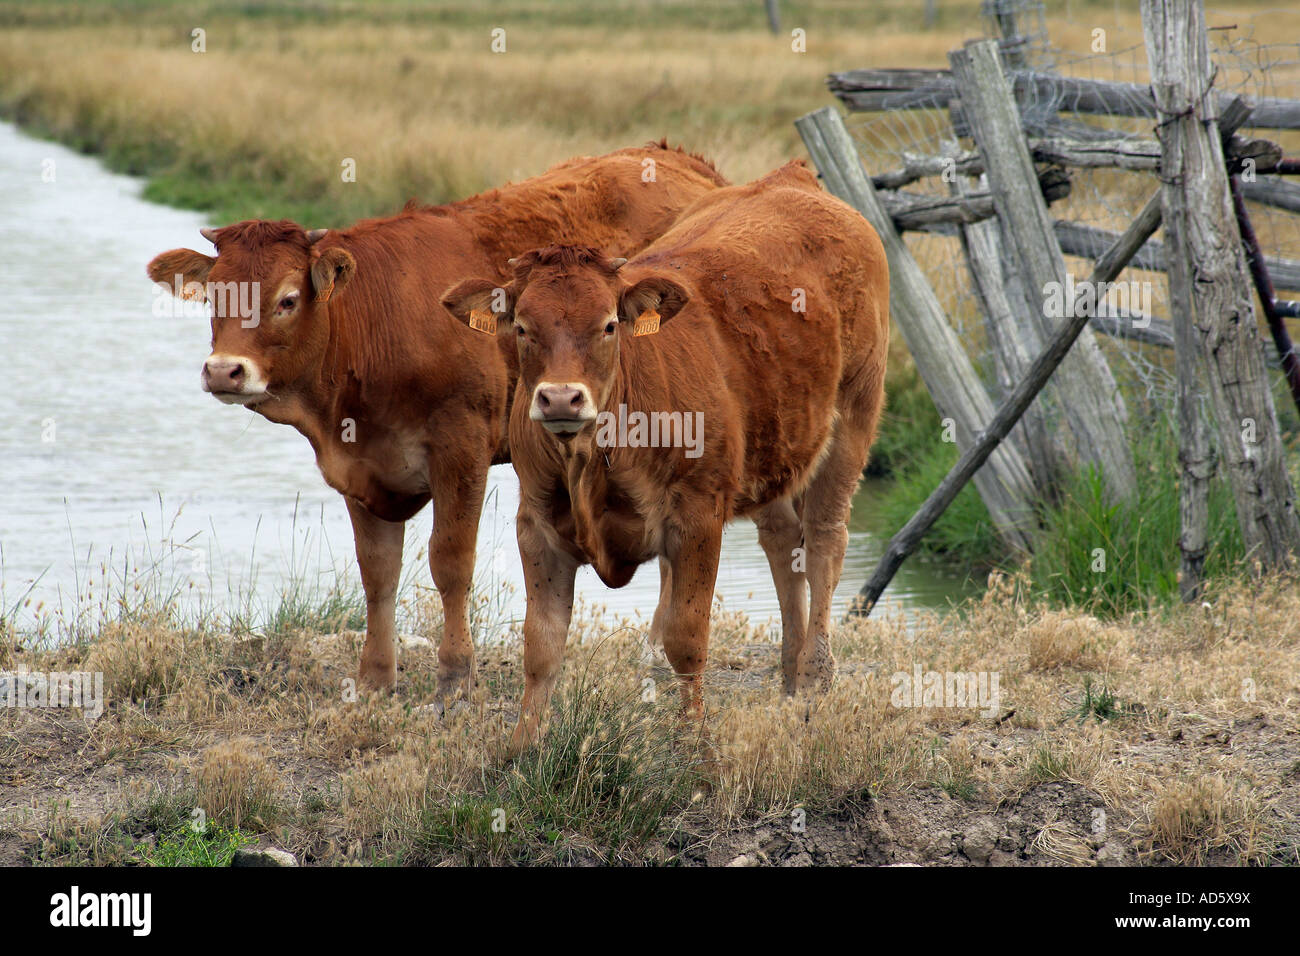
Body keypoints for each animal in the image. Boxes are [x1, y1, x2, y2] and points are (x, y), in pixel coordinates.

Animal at [146, 142, 727, 701]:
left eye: (287, 299)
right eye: (215, 295)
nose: (225, 370)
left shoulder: (461, 446)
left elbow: (450, 562)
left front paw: (455, 679)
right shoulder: (358, 466)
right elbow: (378, 572)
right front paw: (374, 678)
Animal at [441, 161, 889, 754]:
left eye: (608, 324)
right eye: (521, 326)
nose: (560, 398)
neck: (593, 458)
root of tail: (788, 180)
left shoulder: (698, 517)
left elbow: (686, 636)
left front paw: (697, 739)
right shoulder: (536, 524)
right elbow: (541, 645)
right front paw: (521, 746)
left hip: (854, 416)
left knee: (824, 542)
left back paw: (816, 678)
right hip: (774, 448)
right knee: (783, 543)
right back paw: (792, 677)